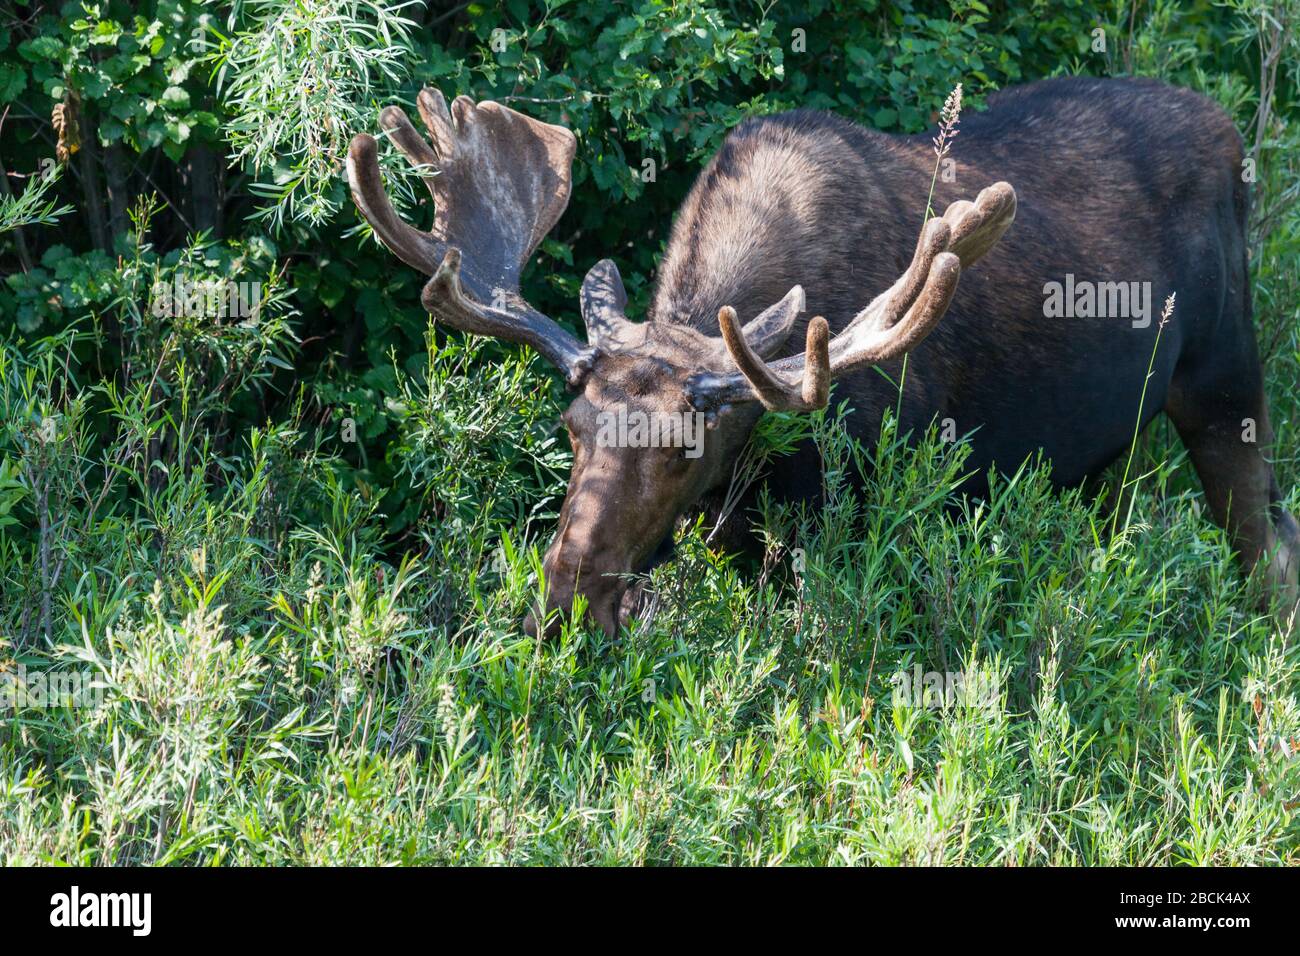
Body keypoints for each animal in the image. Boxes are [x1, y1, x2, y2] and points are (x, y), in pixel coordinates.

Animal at [346, 76, 1300, 638]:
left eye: (683, 450)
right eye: (570, 424)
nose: (567, 598)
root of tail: (1234, 137)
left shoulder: (848, 509)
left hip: (1223, 375)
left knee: (1267, 537)